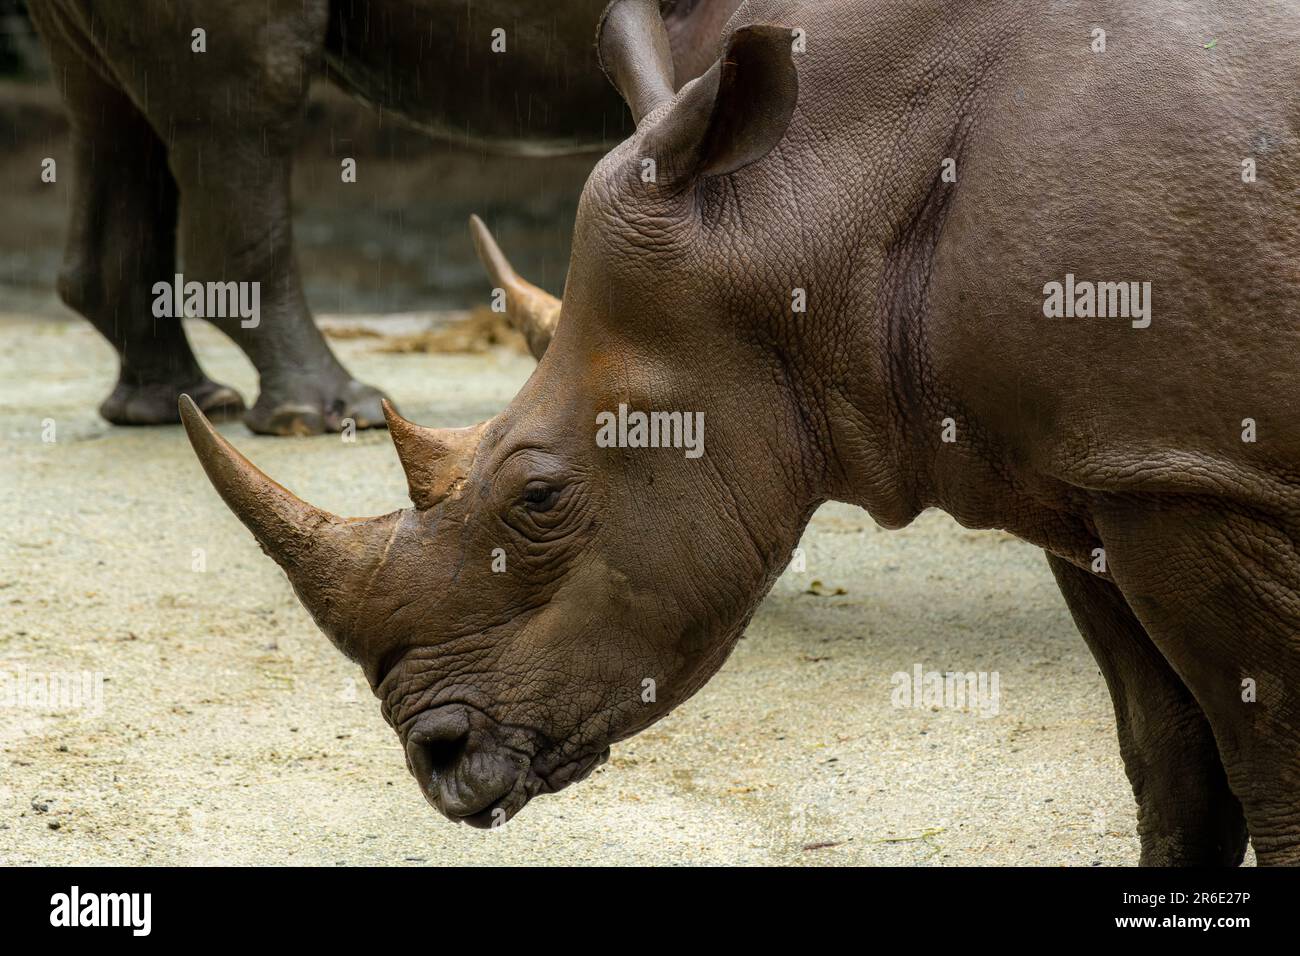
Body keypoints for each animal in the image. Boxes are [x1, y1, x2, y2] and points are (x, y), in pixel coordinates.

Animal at [179, 0, 1300, 866]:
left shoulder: (1186, 474)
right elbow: (1169, 768)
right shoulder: (1101, 471)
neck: (803, 212)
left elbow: (1269, 762)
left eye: (538, 497)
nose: (437, 758)